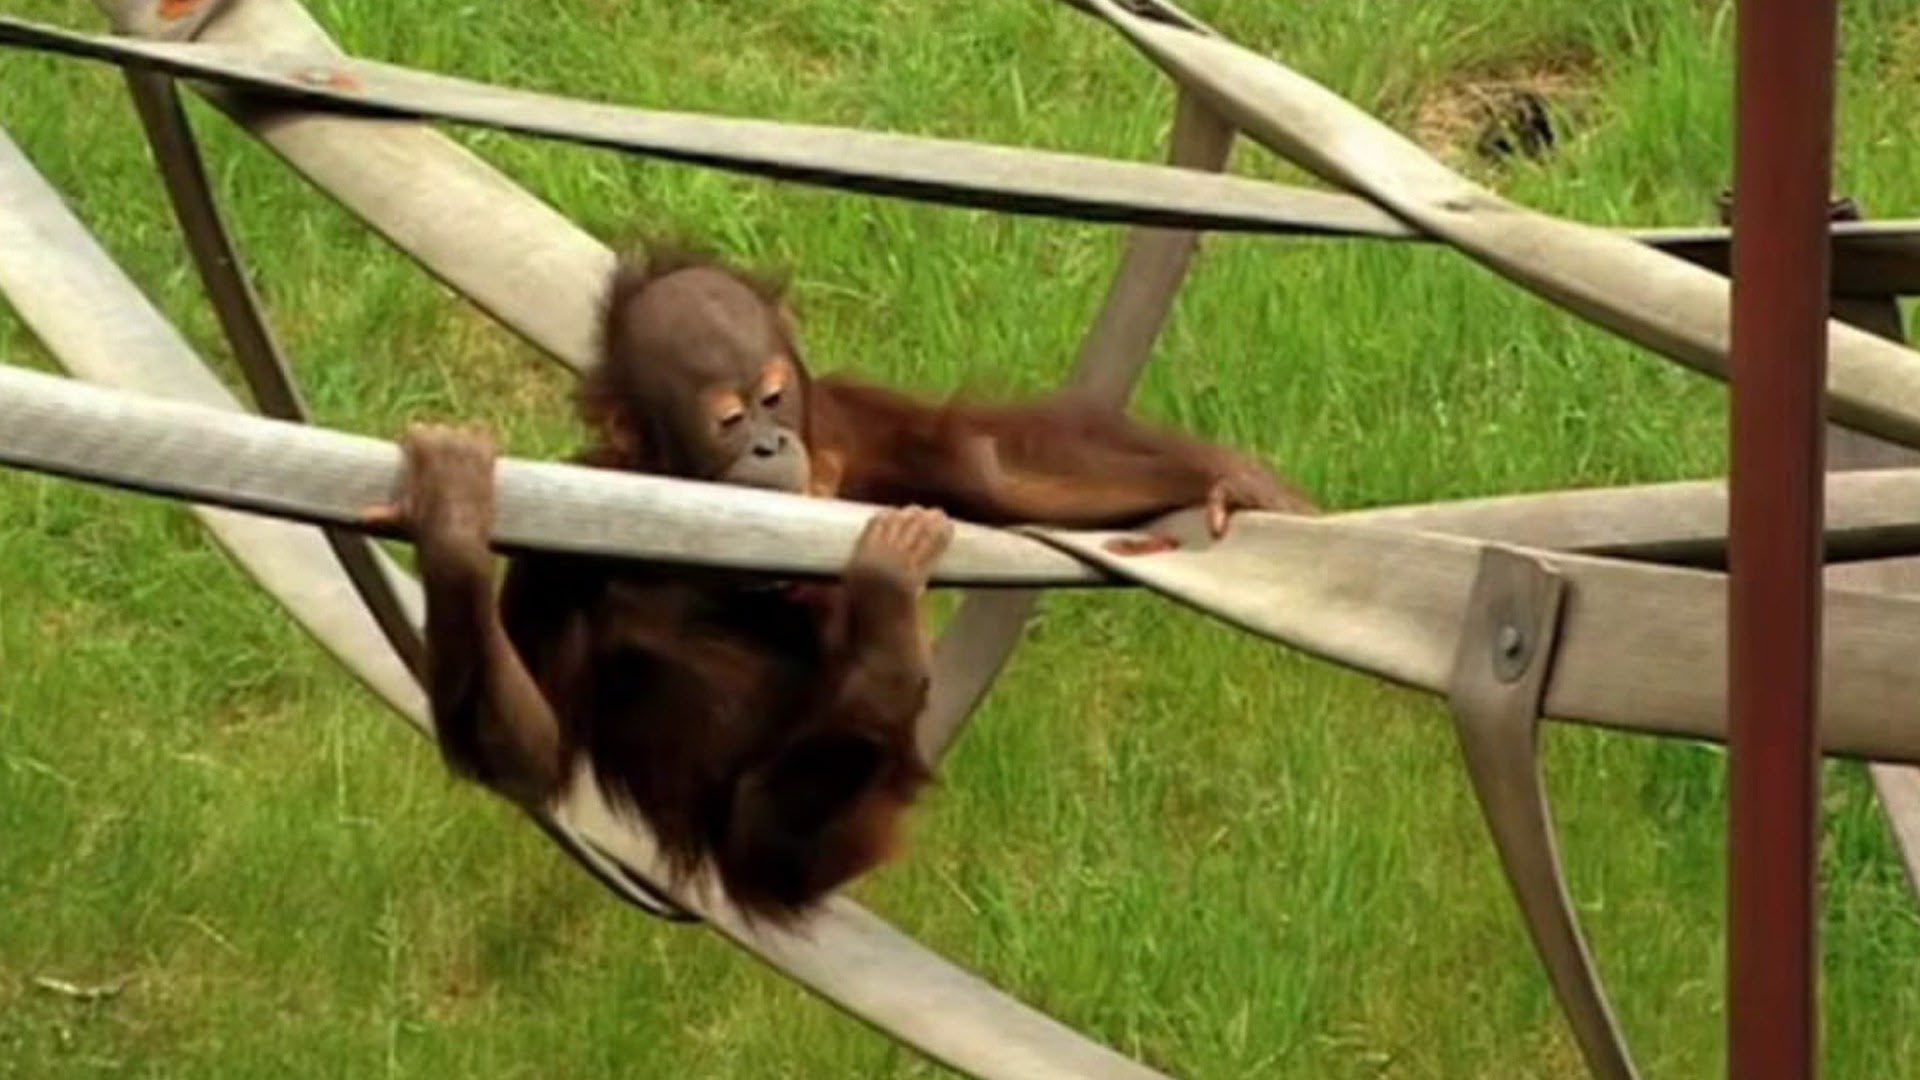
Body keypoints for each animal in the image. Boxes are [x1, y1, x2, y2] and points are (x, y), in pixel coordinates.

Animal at [375, 247, 1312, 922]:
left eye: (773, 398)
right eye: (728, 418)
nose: (769, 445)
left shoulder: (850, 422)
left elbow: (991, 467)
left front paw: (1233, 481)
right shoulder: (563, 554)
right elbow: (536, 744)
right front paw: (453, 528)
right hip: (769, 852)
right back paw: (887, 637)